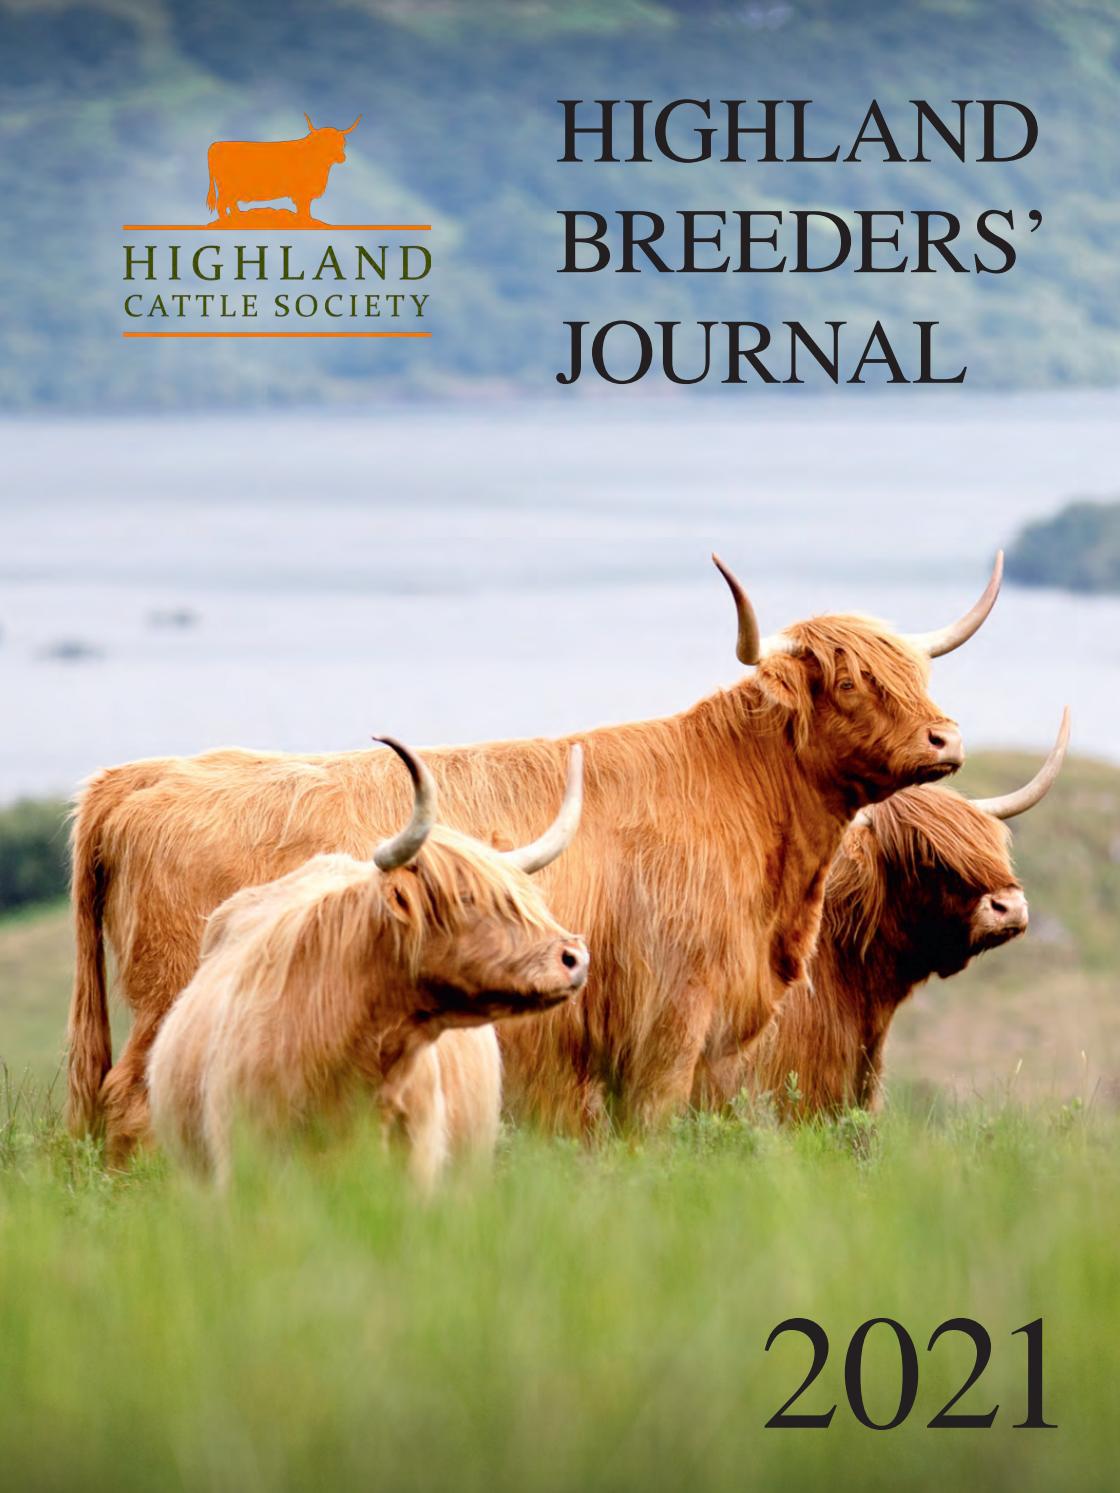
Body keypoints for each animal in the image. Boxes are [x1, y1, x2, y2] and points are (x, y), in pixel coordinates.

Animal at [205, 113, 361, 223]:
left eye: (341, 143)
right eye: (324, 143)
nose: (342, 157)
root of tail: (215, 145)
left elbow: (306, 208)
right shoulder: (301, 192)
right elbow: (303, 208)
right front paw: (304, 221)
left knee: (231, 204)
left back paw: (239, 217)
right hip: (227, 187)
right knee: (222, 204)